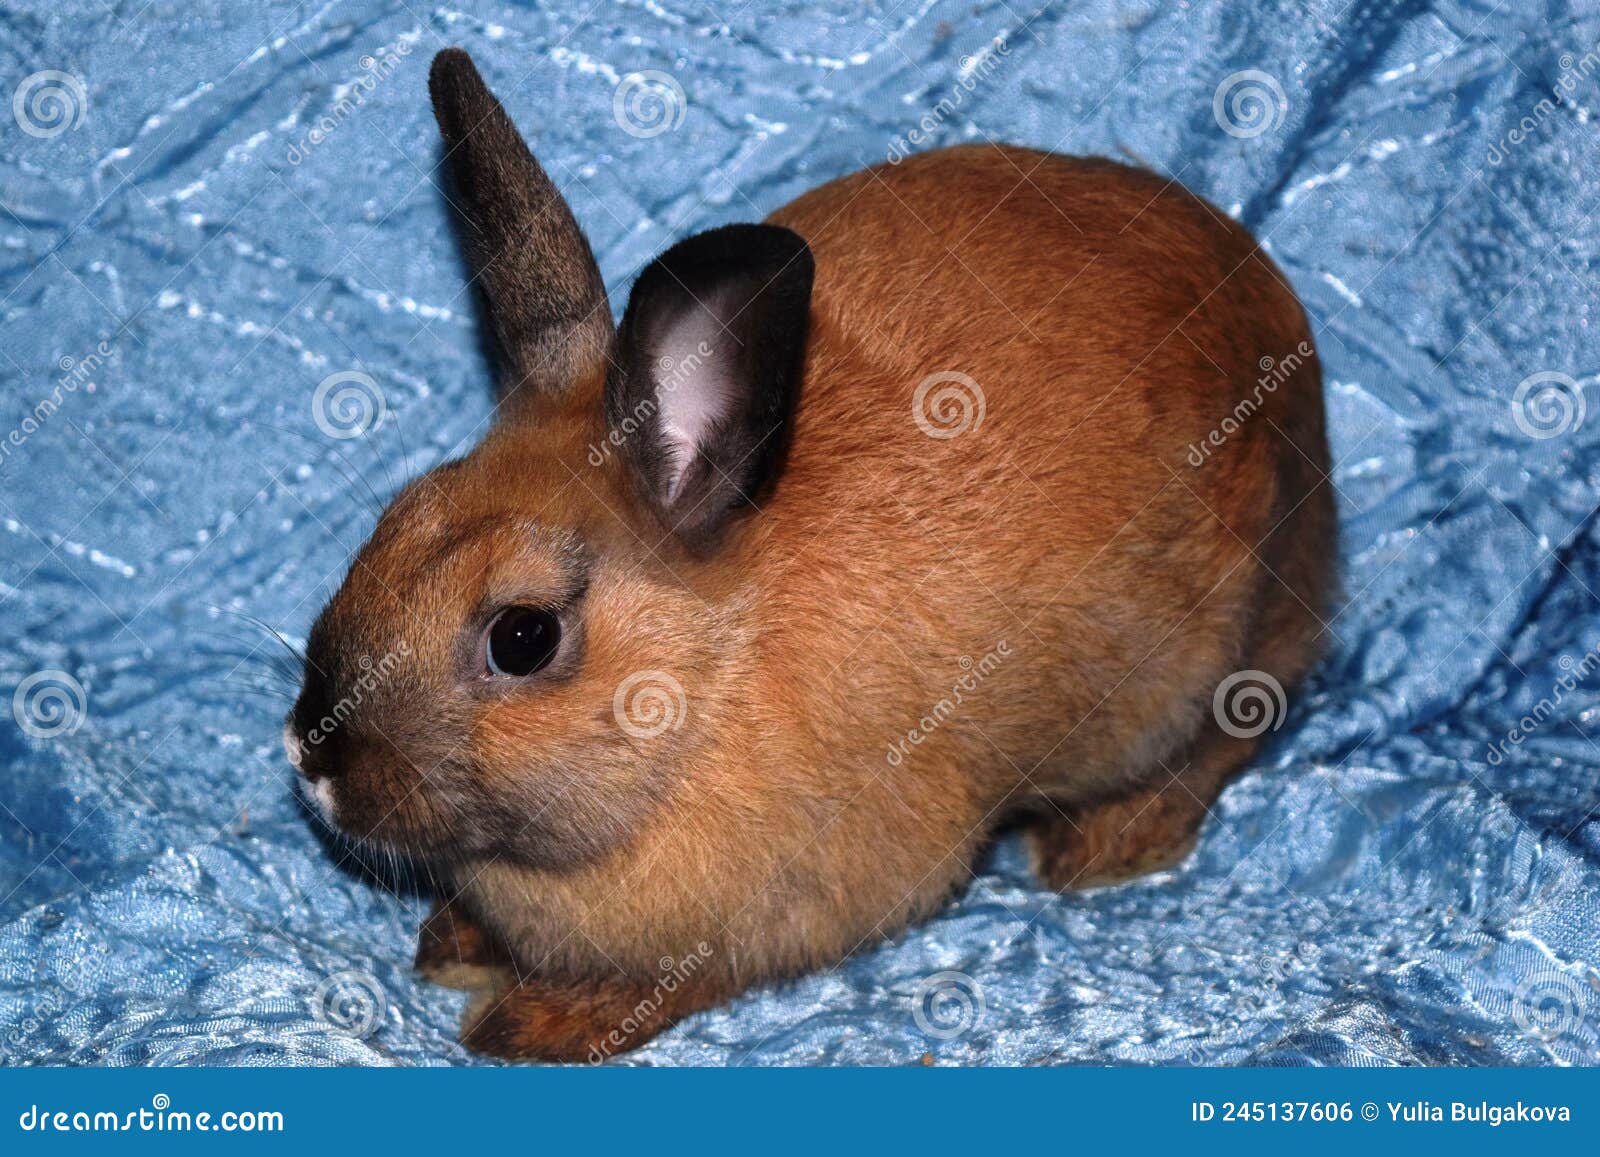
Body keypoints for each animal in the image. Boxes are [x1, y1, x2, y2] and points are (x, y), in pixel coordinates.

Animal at [283, 47, 1336, 1061]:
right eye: (393, 522)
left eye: (523, 637)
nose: (310, 753)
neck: (706, 691)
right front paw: (455, 943)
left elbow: (682, 977)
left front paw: (535, 1022)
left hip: (1223, 645)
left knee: (1228, 732)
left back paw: (1103, 845)